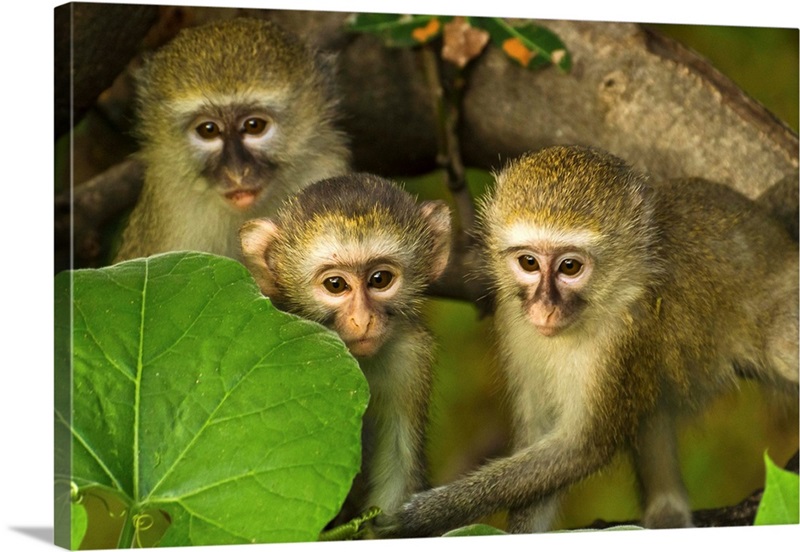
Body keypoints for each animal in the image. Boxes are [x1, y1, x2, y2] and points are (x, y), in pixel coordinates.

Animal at [377, 145, 799, 537]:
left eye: (570, 267)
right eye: (529, 263)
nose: (544, 307)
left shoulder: (624, 335)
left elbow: (582, 448)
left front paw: (422, 515)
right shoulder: (513, 317)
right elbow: (541, 441)